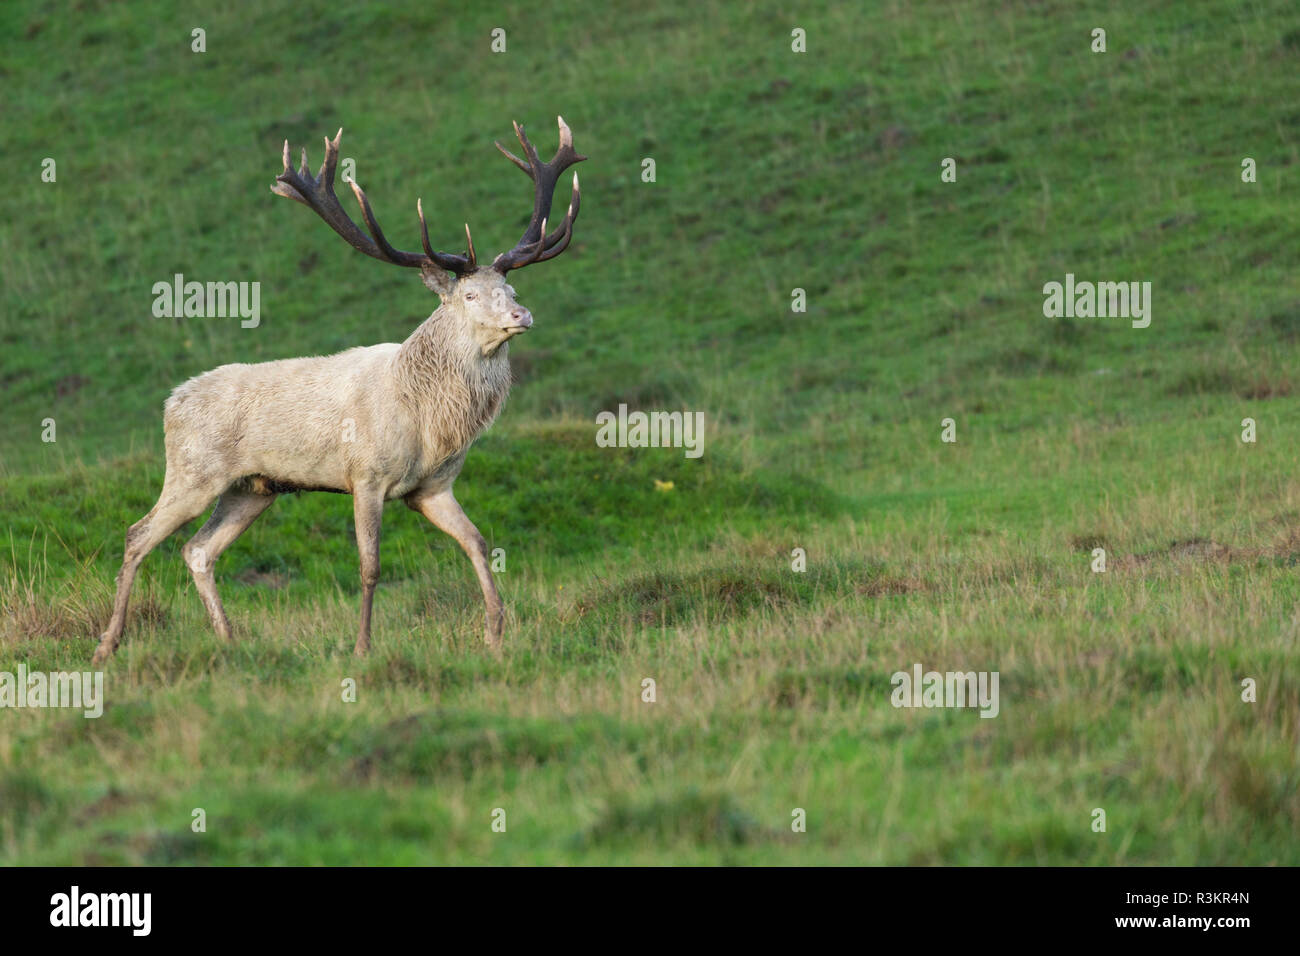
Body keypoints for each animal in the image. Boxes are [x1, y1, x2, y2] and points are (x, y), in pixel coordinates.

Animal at [91, 117, 585, 665]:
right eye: (472, 294)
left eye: (512, 290)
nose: (523, 315)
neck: (431, 419)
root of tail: (170, 403)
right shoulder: (365, 476)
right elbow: (370, 567)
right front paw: (363, 646)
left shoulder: (433, 488)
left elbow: (477, 542)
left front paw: (495, 634)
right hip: (192, 473)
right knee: (138, 535)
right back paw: (108, 644)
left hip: (252, 489)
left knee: (197, 549)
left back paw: (228, 640)